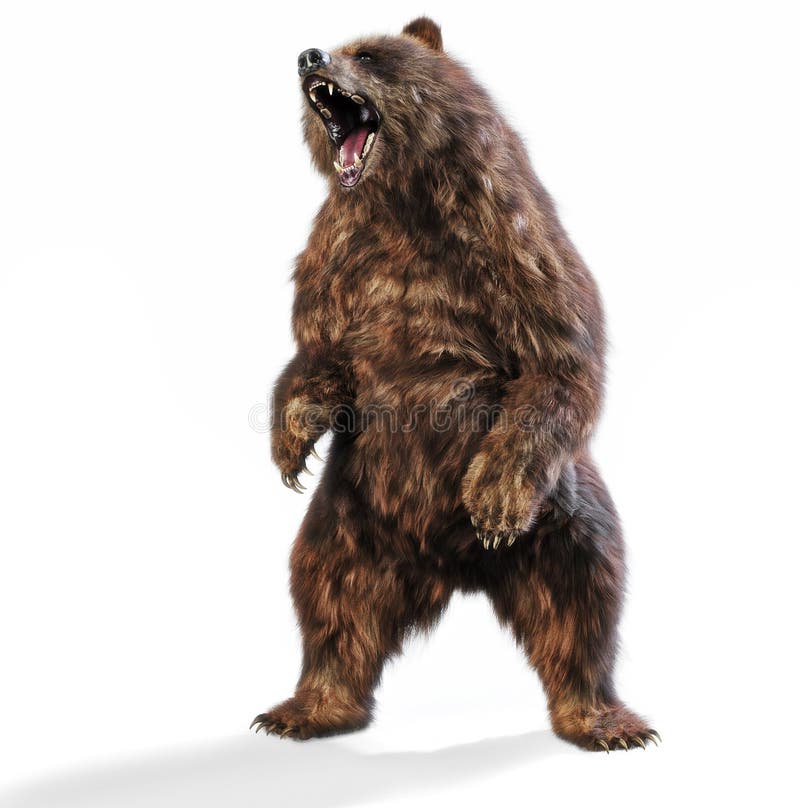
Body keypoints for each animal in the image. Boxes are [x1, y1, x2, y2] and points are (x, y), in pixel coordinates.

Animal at [251, 17, 657, 752]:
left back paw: (604, 719)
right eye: (335, 47)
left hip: (561, 515)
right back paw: (307, 707)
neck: (399, 200)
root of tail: (451, 570)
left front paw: (491, 500)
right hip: (350, 515)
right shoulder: (334, 253)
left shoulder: (512, 238)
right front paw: (292, 441)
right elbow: (320, 349)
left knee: (586, 597)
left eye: (369, 53)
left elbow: (559, 356)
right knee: (326, 594)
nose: (308, 56)